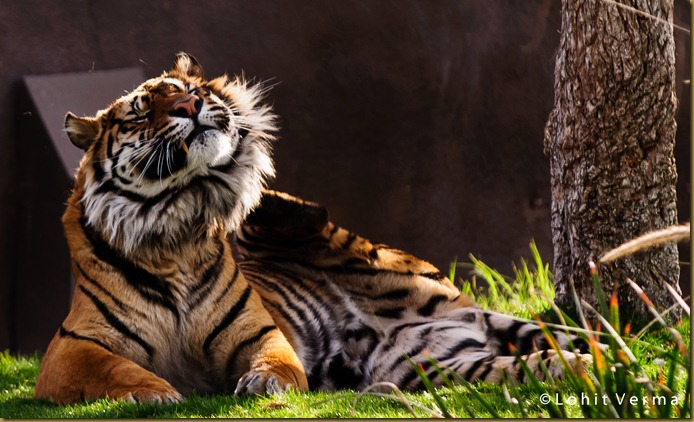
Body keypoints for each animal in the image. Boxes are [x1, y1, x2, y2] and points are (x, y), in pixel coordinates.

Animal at [35, 53, 589, 405]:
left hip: (385, 267)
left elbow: (277, 361)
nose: (191, 107)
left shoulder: (259, 331)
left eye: (190, 91)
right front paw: (156, 392)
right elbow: (117, 369)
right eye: (140, 112)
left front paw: (267, 385)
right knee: (542, 362)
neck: (175, 231)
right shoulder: (68, 350)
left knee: (305, 212)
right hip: (440, 363)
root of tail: (458, 313)